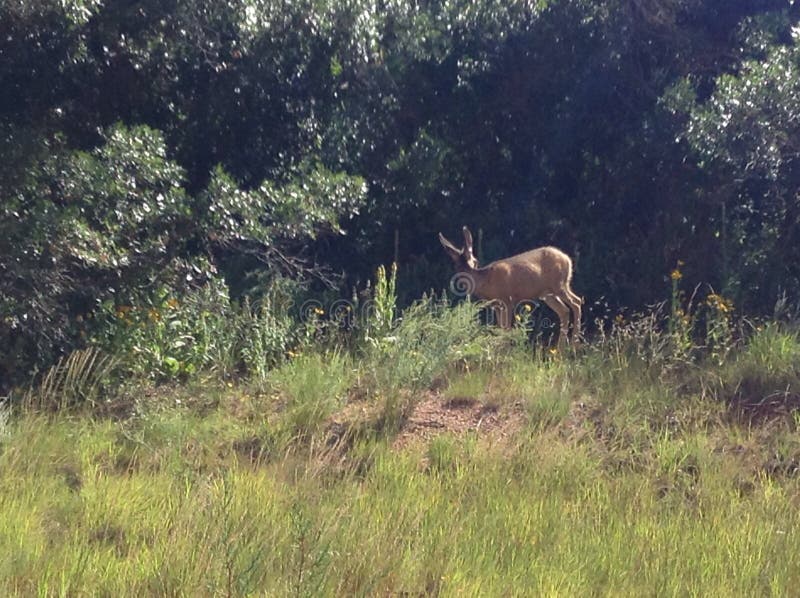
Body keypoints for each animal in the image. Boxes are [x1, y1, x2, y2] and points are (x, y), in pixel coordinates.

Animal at [439, 226, 582, 345]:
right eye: (456, 266)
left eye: (475, 261)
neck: (486, 281)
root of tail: (567, 259)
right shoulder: (496, 305)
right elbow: (501, 329)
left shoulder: (507, 301)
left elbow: (506, 329)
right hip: (548, 294)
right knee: (564, 310)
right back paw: (561, 348)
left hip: (559, 285)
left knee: (576, 302)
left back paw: (573, 345)